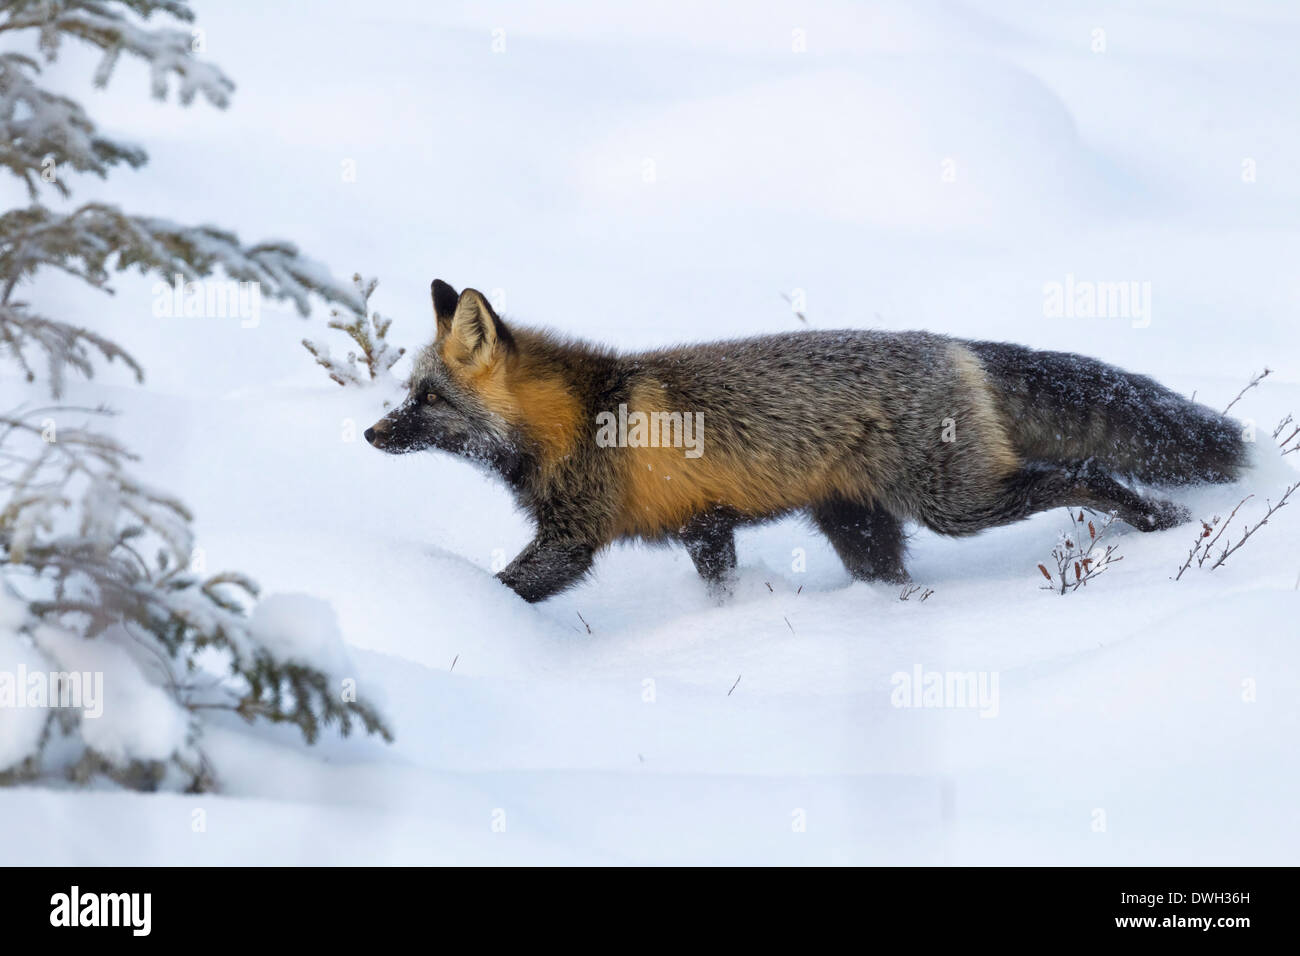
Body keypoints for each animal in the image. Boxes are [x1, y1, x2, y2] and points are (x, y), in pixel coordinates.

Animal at [365, 279, 1246, 603]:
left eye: (426, 399)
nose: (371, 432)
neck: (582, 416)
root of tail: (947, 341)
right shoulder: (705, 527)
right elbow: (720, 587)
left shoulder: (571, 539)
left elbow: (510, 586)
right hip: (860, 528)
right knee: (894, 578)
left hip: (955, 504)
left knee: (1079, 471)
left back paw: (1156, 520)